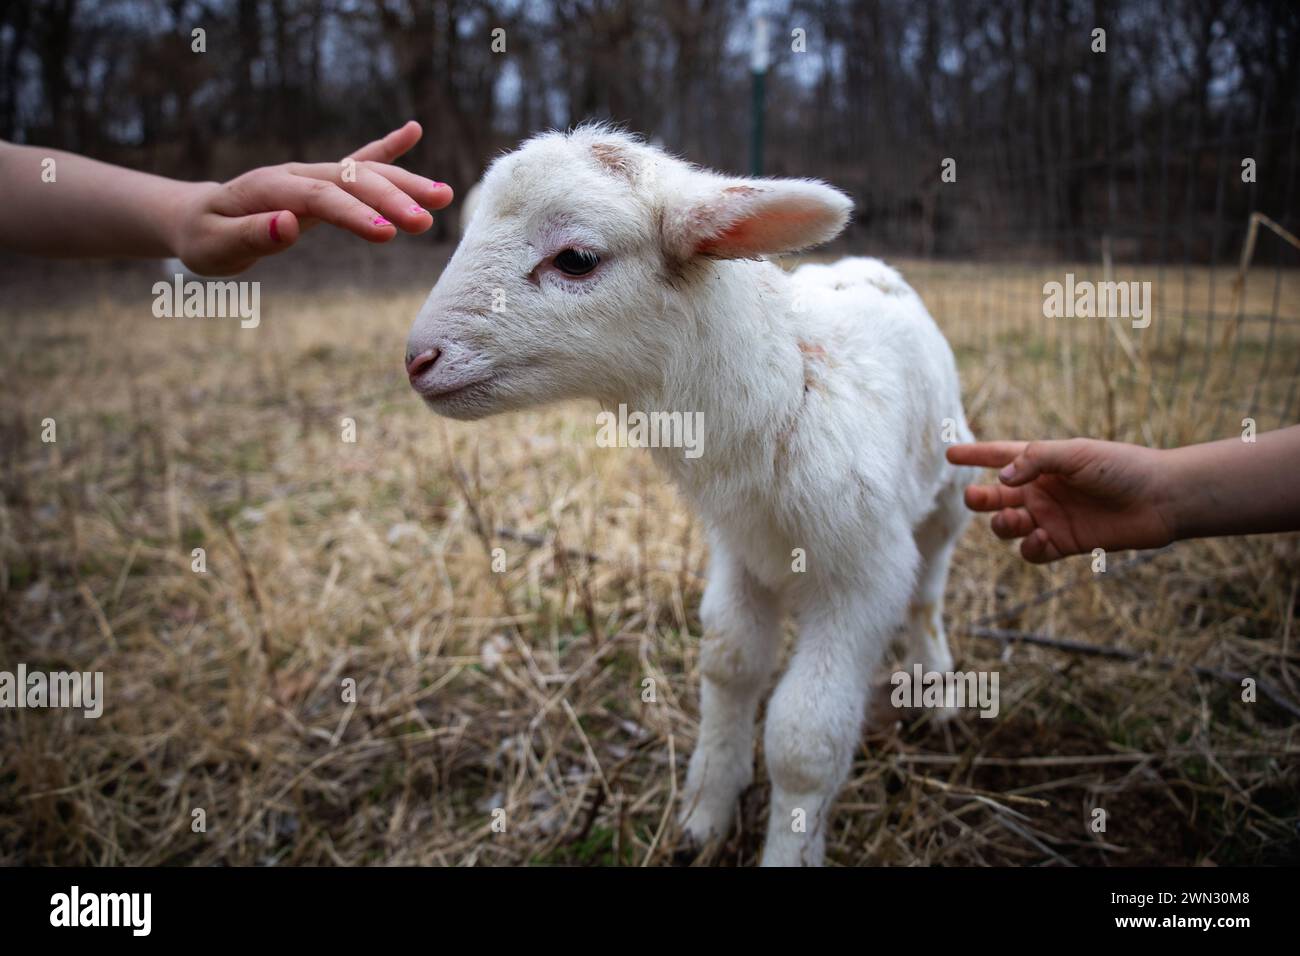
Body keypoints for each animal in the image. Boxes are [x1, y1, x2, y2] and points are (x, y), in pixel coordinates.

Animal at [405, 125, 974, 866]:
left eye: (577, 259)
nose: (418, 360)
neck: (788, 391)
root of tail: (876, 267)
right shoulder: (739, 552)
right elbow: (728, 662)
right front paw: (706, 812)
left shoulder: (864, 576)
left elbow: (804, 740)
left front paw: (788, 846)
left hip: (952, 483)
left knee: (929, 586)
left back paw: (935, 682)